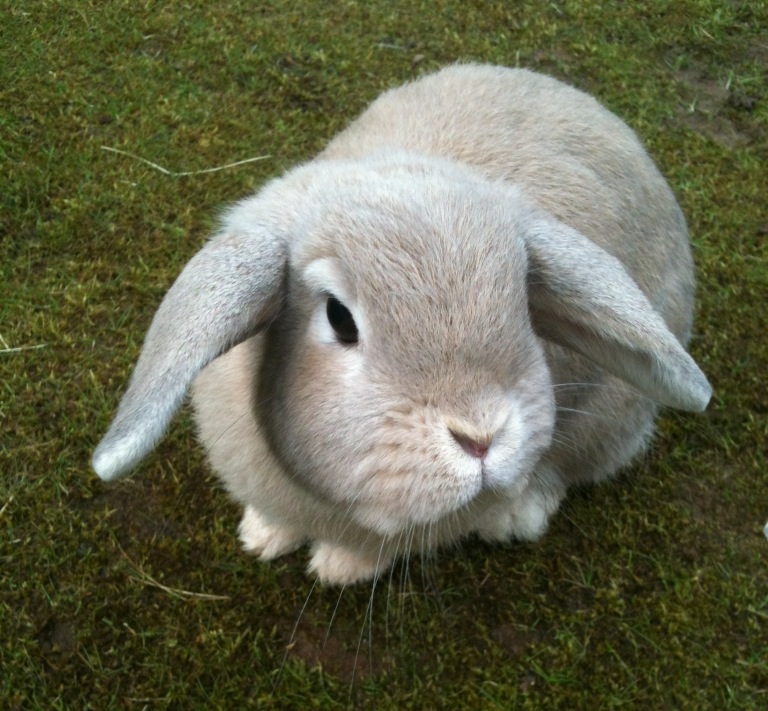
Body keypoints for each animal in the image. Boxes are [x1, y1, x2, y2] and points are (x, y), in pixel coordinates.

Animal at [93, 64, 711, 585]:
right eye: (339, 317)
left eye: (522, 300)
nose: (481, 437)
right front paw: (261, 536)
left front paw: (336, 569)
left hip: (608, 417)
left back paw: (518, 514)